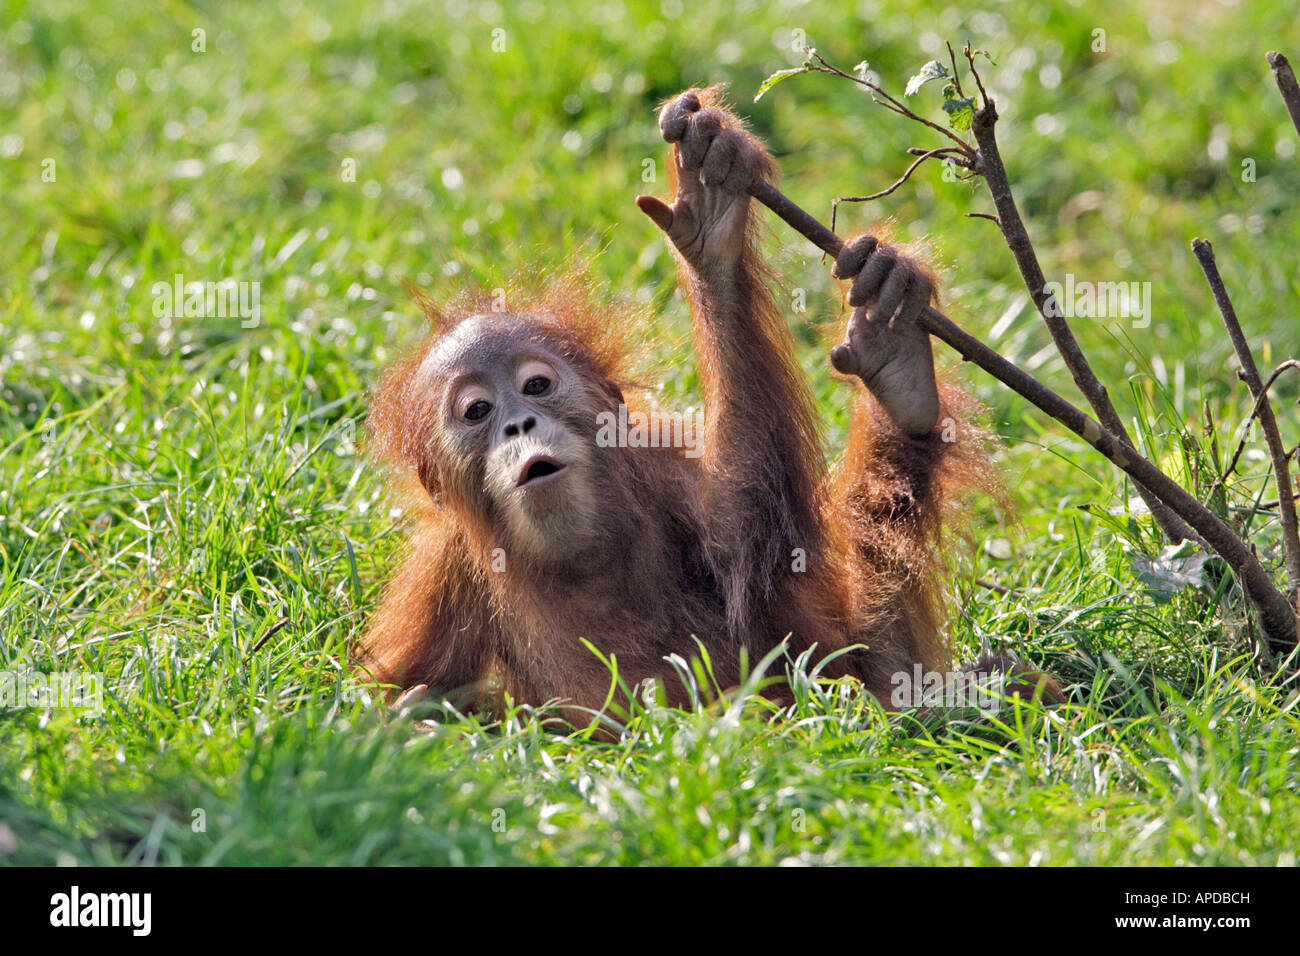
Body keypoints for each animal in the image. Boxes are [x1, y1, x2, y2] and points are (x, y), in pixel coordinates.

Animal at [358, 86, 1061, 724]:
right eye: (477, 413)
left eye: (536, 386)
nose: (519, 423)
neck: (580, 555)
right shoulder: (441, 577)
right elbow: (386, 696)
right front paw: (434, 716)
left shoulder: (665, 468)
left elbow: (754, 538)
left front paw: (713, 209)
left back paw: (899, 371)